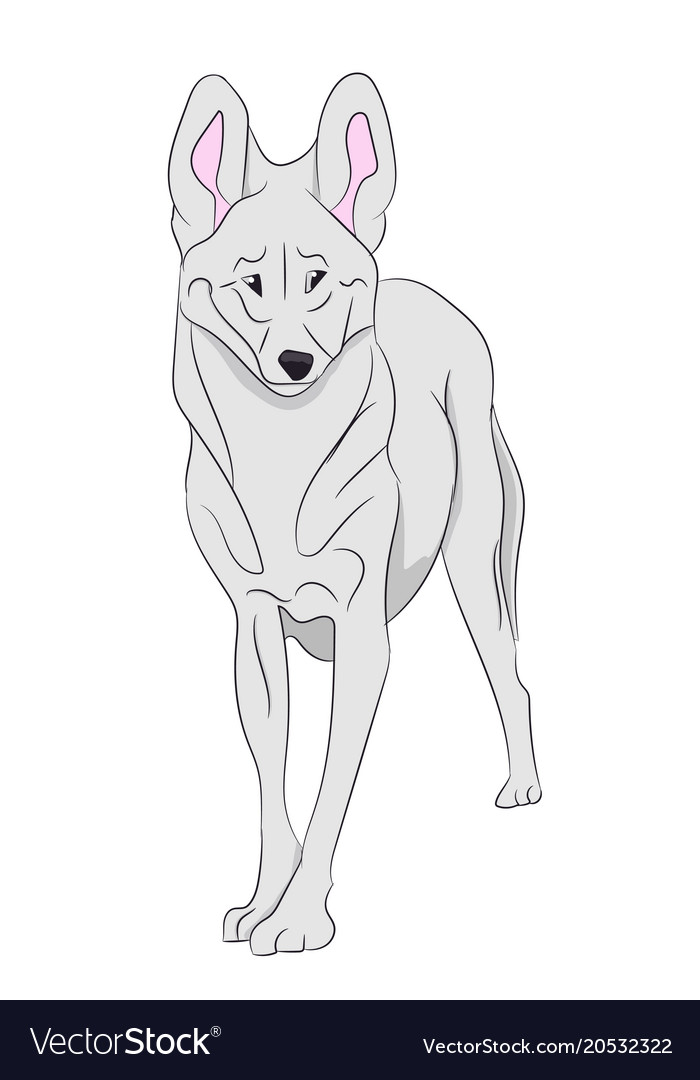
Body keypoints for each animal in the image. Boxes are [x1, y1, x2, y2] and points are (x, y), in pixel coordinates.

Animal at [168, 73, 541, 954]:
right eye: (251, 284)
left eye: (317, 281)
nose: (296, 361)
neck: (279, 460)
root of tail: (436, 300)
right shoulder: (253, 628)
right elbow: (274, 786)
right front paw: (262, 903)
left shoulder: (363, 636)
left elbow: (330, 788)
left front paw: (301, 919)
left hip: (473, 567)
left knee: (511, 677)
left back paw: (523, 787)